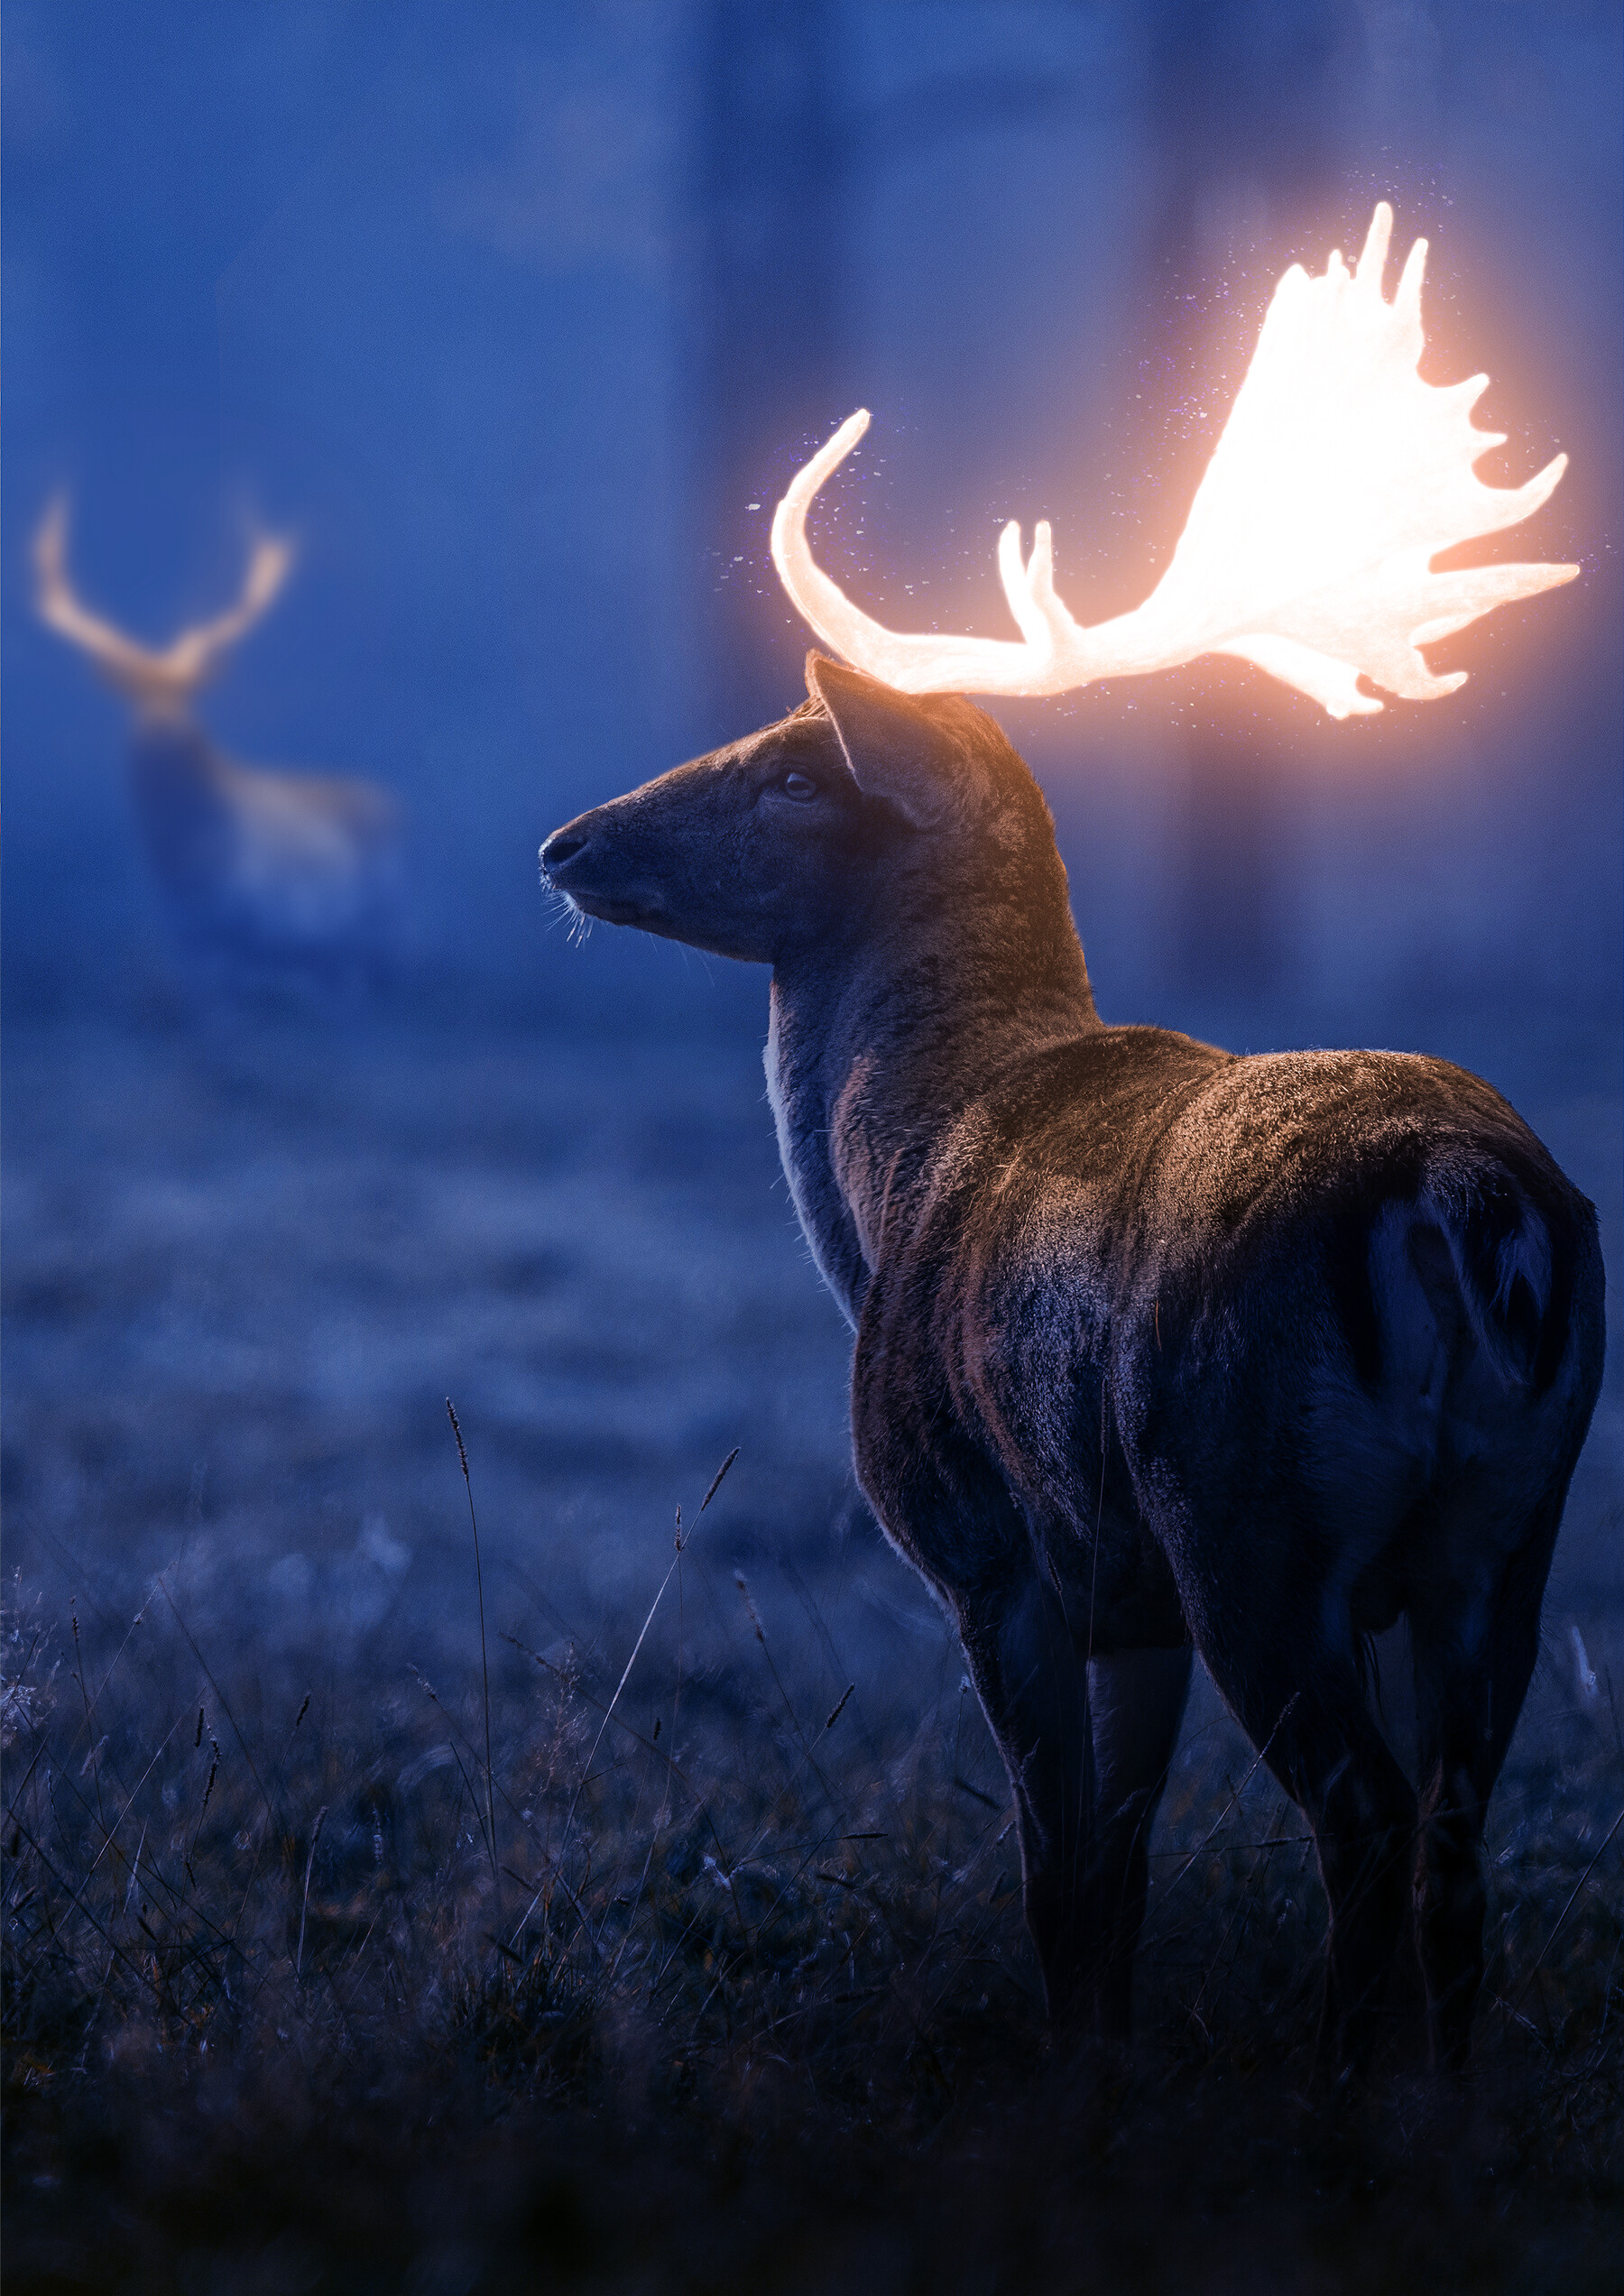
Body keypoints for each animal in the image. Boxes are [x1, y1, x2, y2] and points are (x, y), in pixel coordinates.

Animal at [34, 500, 402, 989]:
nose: (162, 729)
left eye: (185, 691)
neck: (190, 862)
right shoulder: (192, 940)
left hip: (379, 913)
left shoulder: (257, 929)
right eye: (136, 692)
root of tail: (401, 808)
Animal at [537, 209, 1603, 2075]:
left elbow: (1055, 1882)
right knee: (1462, 1847)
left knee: (1367, 1823)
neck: (894, 1180)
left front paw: (1072, 2089)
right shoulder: (1130, 1607)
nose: (569, 840)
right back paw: (1441, 2096)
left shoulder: (995, 1554)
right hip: (1505, 1527)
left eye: (799, 768)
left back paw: (1348, 2096)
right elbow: (1118, 1870)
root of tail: (1471, 1203)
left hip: (1255, 1517)